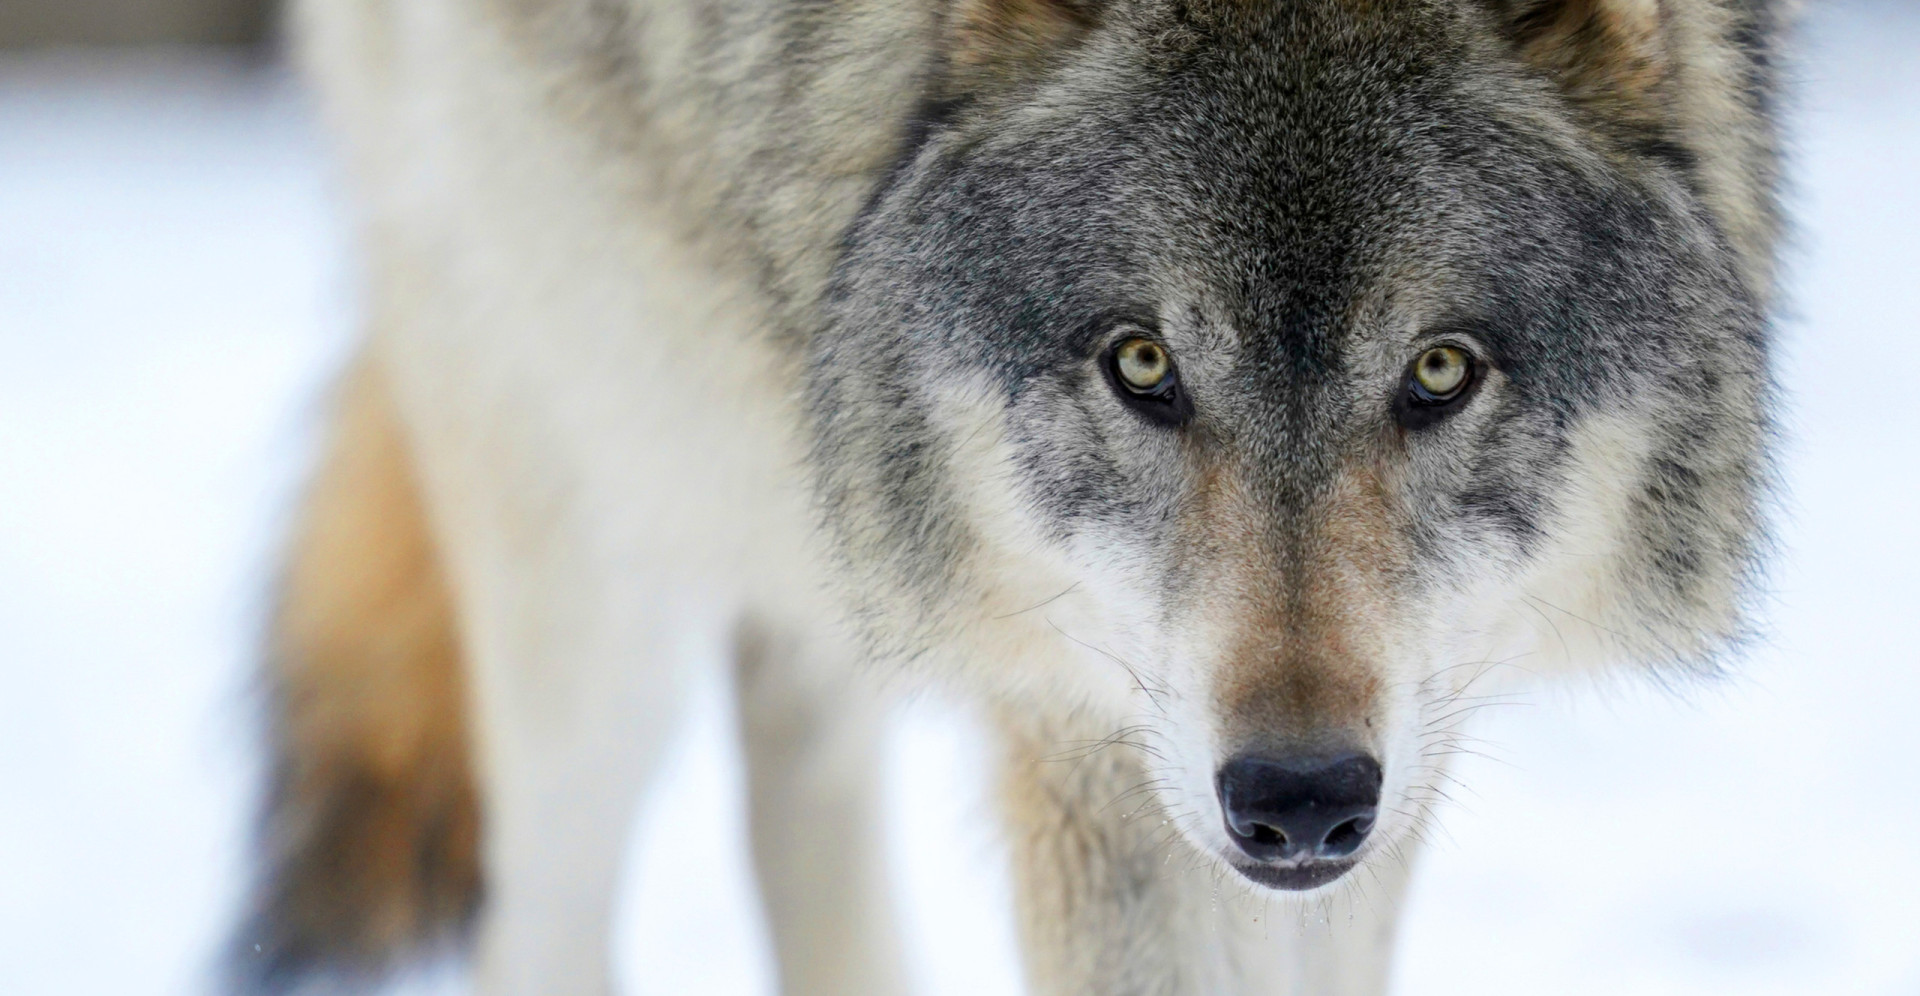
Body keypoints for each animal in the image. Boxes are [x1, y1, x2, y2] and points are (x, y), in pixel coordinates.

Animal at [231, 0, 1784, 991]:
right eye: (1143, 363)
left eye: (1440, 370)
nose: (1297, 799)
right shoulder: (1097, 745)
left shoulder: (1398, 762)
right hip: (595, 547)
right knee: (537, 920)